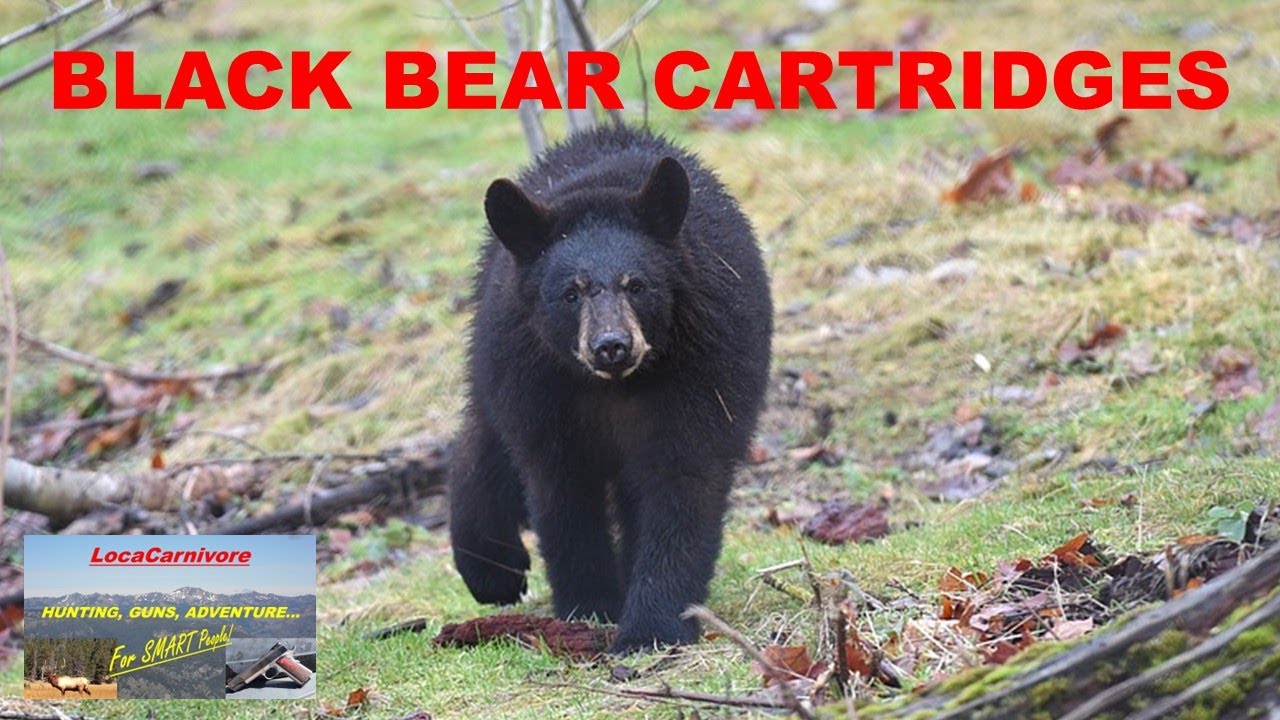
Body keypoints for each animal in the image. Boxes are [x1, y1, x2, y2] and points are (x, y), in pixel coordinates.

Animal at [448, 124, 772, 654]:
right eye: (570, 293)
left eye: (637, 285)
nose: (611, 346)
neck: (615, 389)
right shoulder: (538, 384)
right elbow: (561, 489)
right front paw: (589, 606)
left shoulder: (707, 365)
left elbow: (683, 479)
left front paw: (652, 626)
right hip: (496, 344)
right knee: (484, 431)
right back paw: (491, 567)